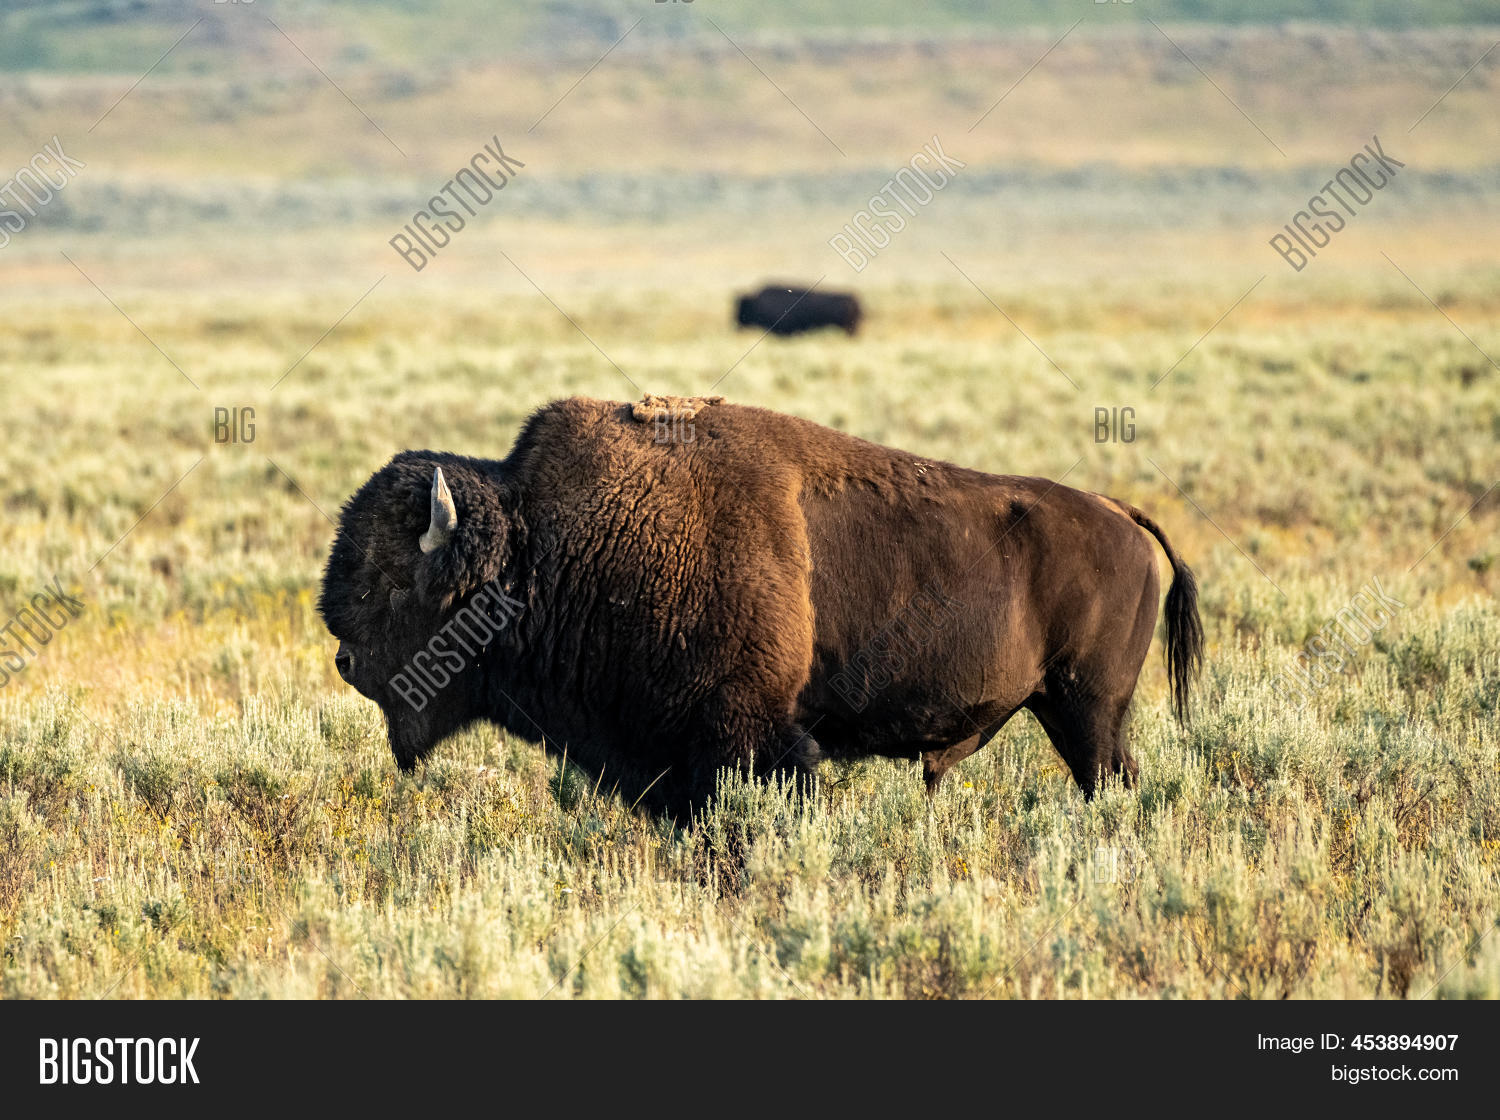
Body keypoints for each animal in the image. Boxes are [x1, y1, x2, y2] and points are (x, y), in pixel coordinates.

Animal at [319, 395, 1202, 816]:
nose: (346, 660)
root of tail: (1122, 517)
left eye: (393, 580)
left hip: (1088, 707)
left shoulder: (751, 735)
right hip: (1074, 710)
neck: (544, 543)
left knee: (1109, 778)